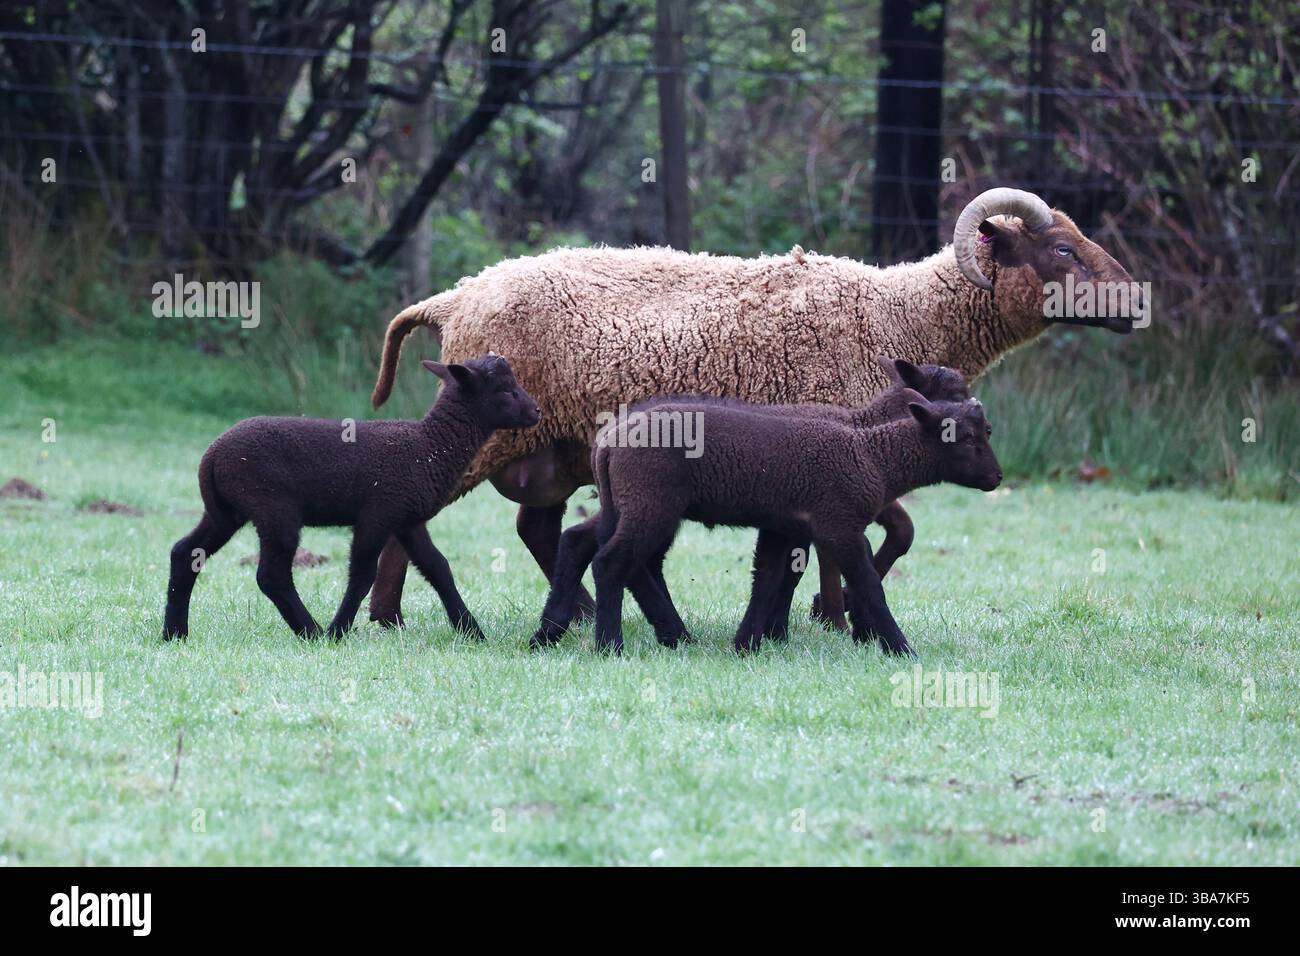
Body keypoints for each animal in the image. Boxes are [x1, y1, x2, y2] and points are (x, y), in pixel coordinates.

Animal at [162, 354, 540, 640]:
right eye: (506, 391)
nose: (536, 411)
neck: (429, 447)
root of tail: (211, 457)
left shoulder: (408, 520)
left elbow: (439, 569)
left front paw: (472, 631)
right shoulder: (377, 514)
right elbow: (361, 576)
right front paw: (338, 631)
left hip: (225, 511)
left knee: (186, 552)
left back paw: (174, 633)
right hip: (273, 508)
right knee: (271, 575)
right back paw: (312, 631)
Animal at [527, 357, 972, 650]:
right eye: (955, 394)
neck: (863, 428)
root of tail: (609, 436)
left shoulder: (796, 518)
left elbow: (786, 571)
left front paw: (777, 631)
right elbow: (800, 571)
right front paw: (789, 630)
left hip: (636, 503)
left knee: (591, 544)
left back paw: (557, 631)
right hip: (652, 502)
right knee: (617, 555)